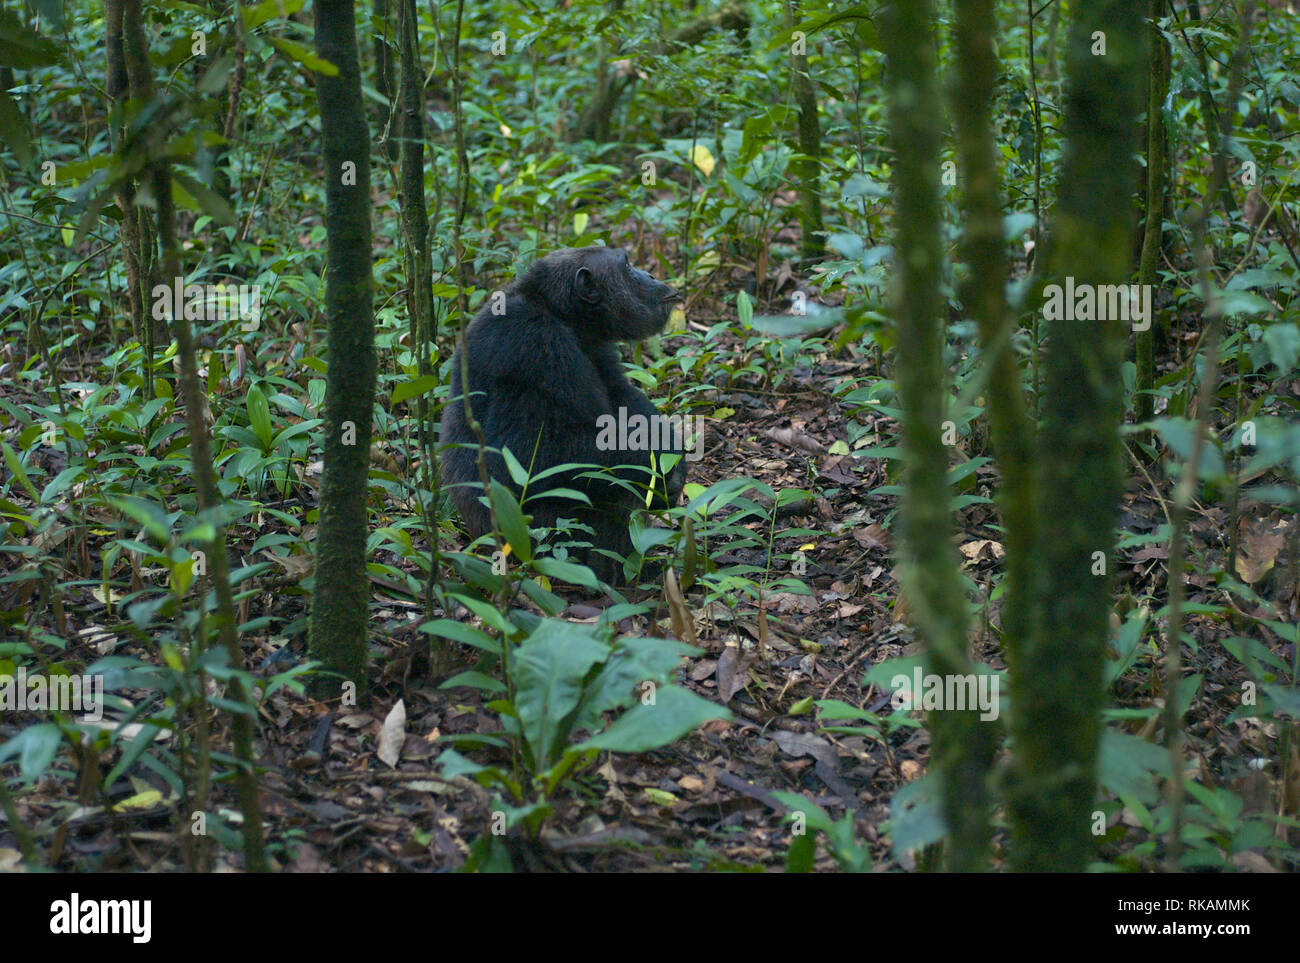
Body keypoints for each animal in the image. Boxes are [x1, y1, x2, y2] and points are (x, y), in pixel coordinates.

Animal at [440, 246, 687, 584]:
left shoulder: (598, 347)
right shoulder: (528, 342)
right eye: (627, 266)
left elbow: (622, 395)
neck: (561, 315)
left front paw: (674, 458)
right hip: (535, 538)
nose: (648, 273)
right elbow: (524, 451)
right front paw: (657, 458)